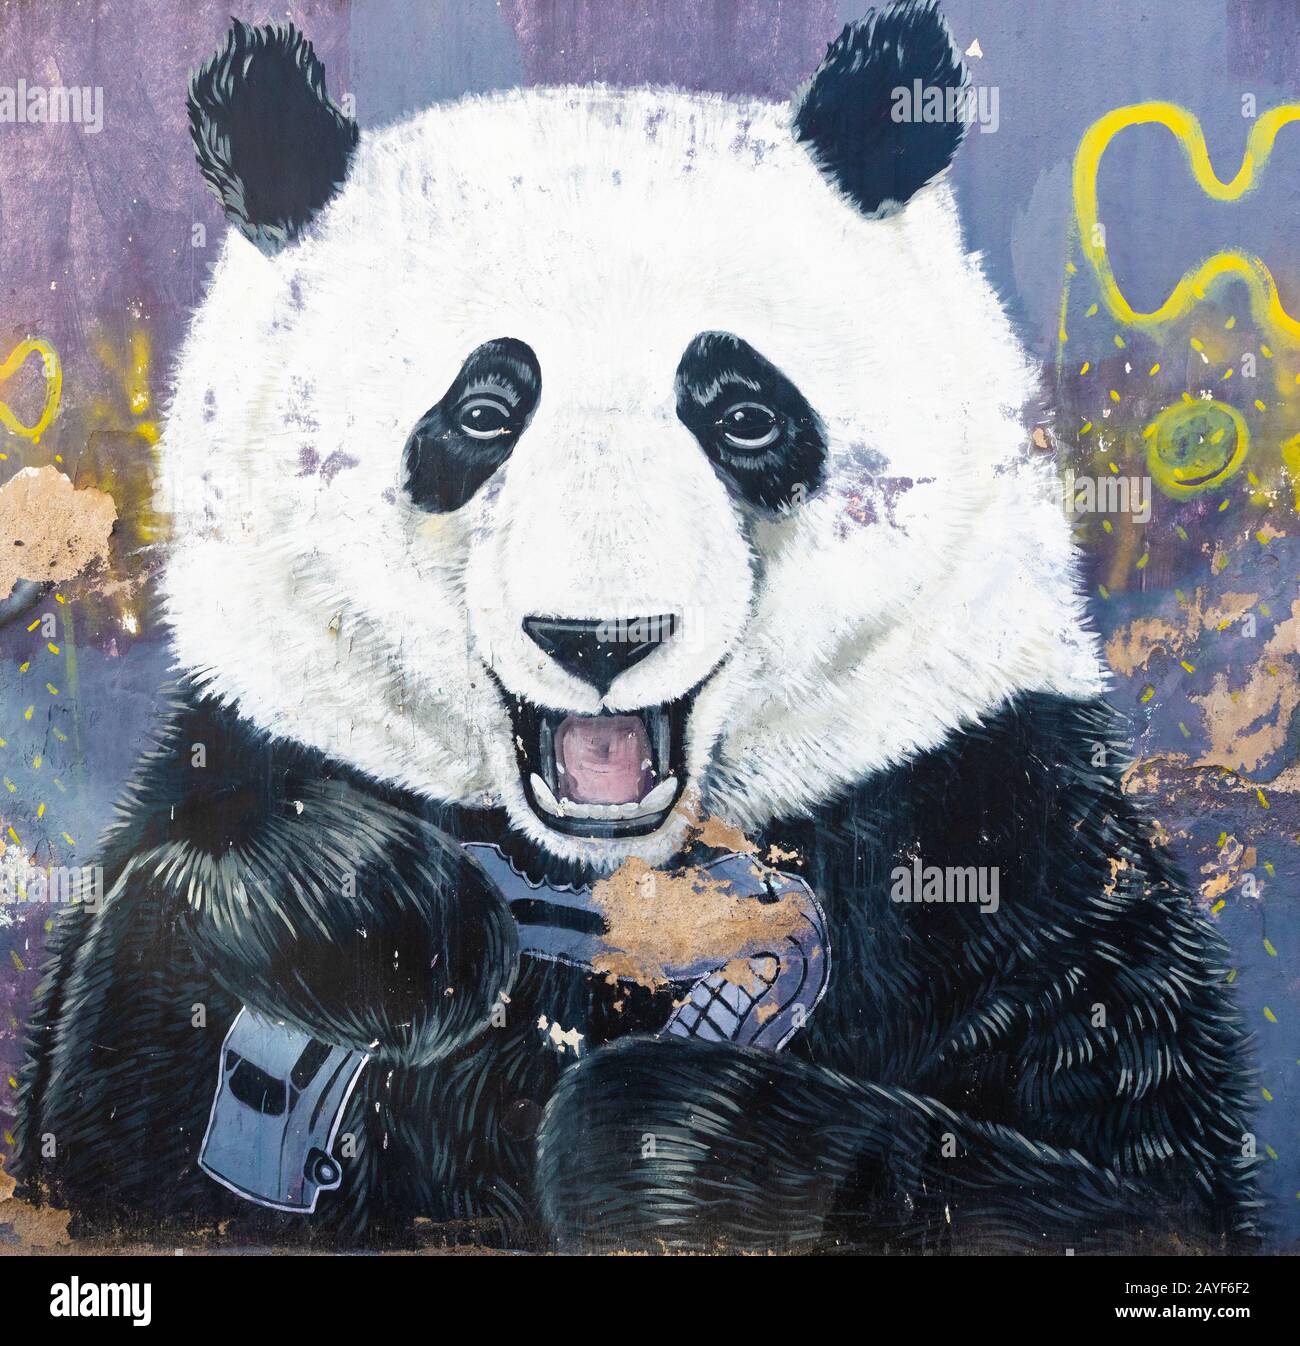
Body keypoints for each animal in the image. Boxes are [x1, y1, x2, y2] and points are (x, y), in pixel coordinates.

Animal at [16, 2, 1259, 1252]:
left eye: (745, 413)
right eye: (483, 409)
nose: (599, 639)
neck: (614, 874)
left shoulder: (995, 822)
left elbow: (1138, 1185)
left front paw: (659, 1139)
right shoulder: (247, 743)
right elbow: (114, 1137)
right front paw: (388, 927)